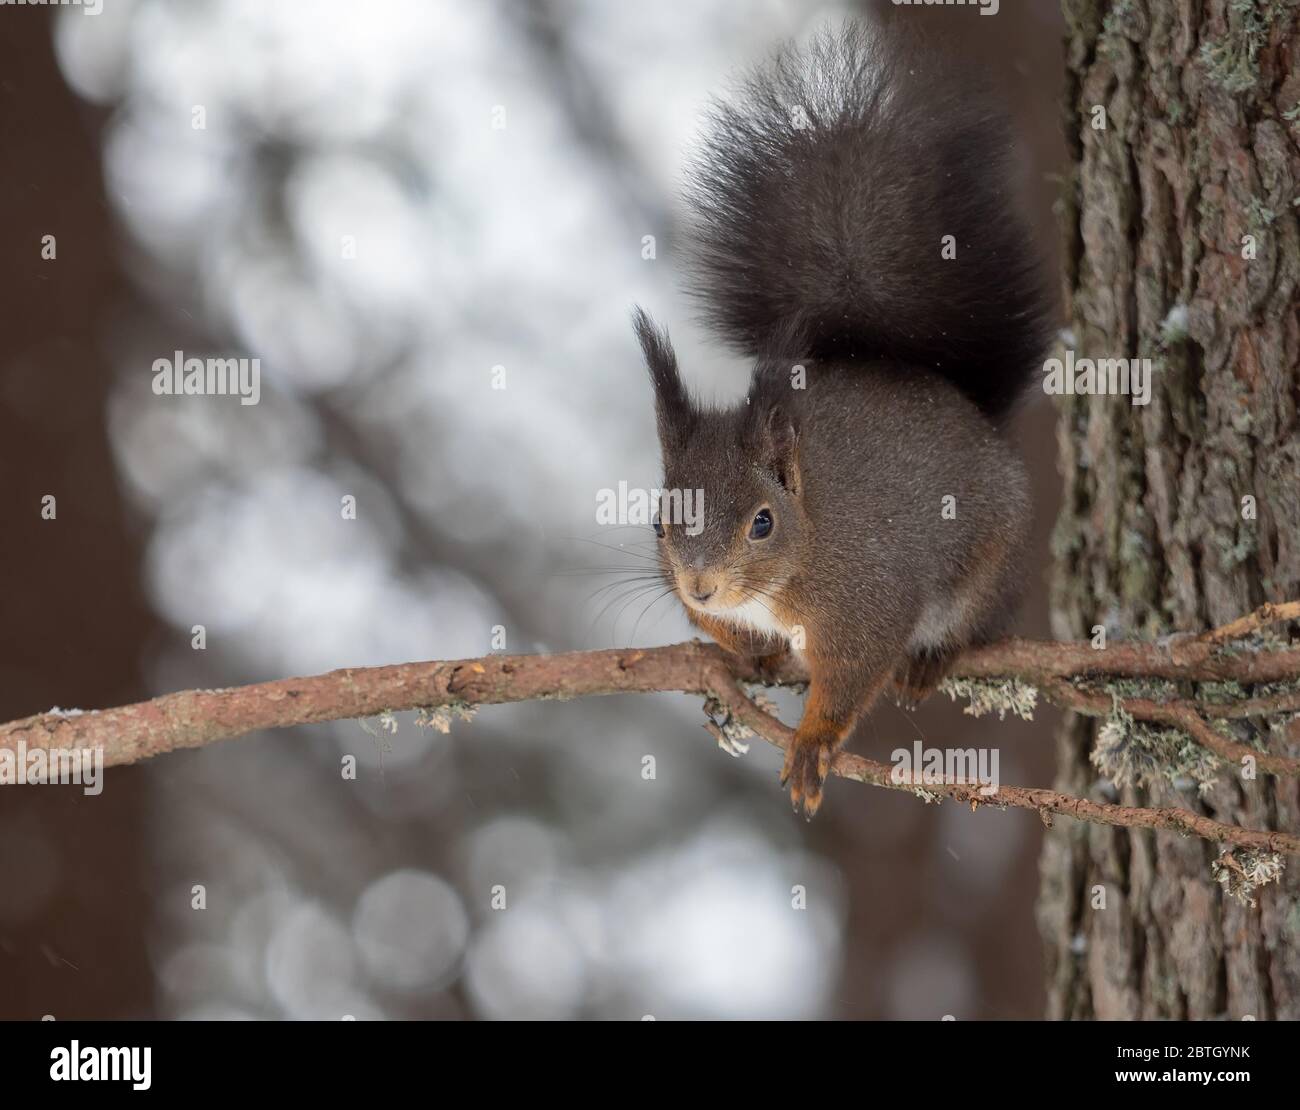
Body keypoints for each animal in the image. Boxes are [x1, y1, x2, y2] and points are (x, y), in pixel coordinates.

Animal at [631, 23, 1053, 817]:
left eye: (763, 522)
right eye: (661, 522)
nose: (700, 583)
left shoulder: (864, 600)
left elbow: (855, 673)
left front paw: (812, 745)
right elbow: (715, 628)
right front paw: (748, 646)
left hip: (991, 557)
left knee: (978, 615)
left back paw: (934, 656)